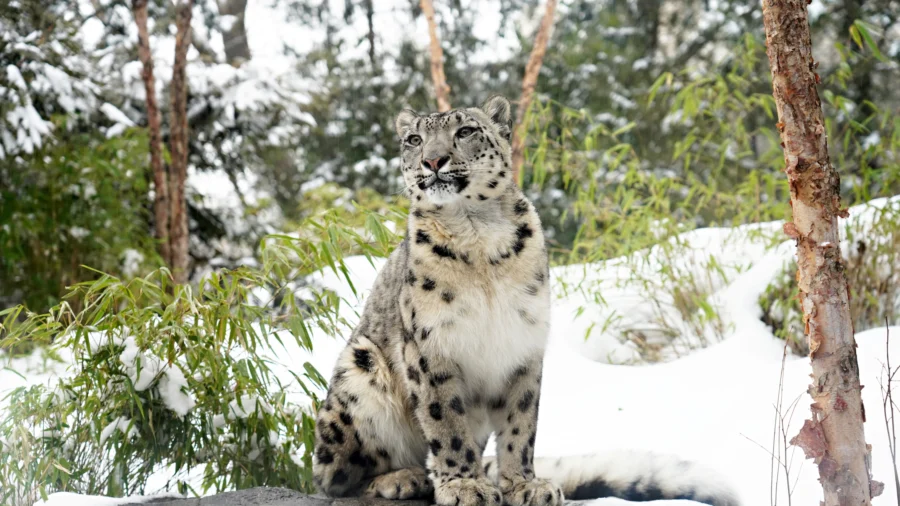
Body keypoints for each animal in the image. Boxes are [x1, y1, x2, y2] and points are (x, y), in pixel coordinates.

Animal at [311, 95, 740, 506]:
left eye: (465, 131)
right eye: (414, 139)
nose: (432, 160)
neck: (477, 234)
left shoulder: (523, 341)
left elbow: (521, 422)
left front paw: (524, 485)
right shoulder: (430, 344)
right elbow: (445, 419)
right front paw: (464, 485)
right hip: (358, 370)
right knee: (334, 478)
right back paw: (405, 478)